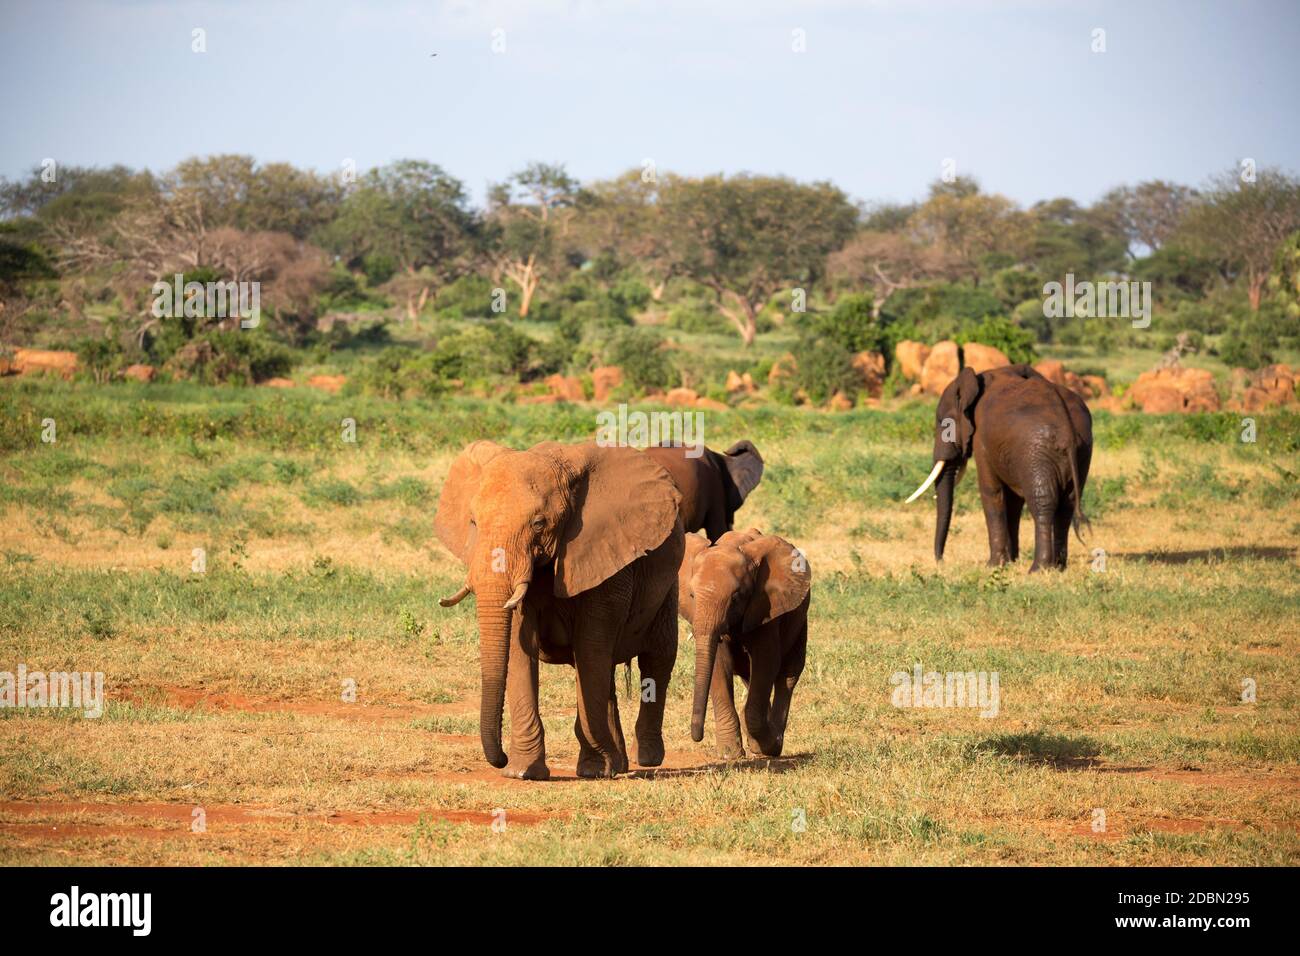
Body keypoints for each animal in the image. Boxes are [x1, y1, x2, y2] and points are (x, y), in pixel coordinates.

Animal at [434, 440, 684, 780]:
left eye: (539, 524)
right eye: (473, 523)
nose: (499, 758)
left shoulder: (604, 554)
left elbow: (591, 648)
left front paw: (594, 770)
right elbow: (519, 648)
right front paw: (522, 772)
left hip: (668, 586)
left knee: (656, 658)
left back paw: (644, 758)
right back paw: (618, 764)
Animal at [678, 529, 811, 758]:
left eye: (736, 597)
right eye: (692, 596)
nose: (697, 736)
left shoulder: (766, 606)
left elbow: (766, 661)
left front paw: (766, 746)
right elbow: (718, 666)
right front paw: (729, 754)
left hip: (800, 620)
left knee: (788, 675)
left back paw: (773, 742)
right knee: (750, 677)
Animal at [906, 364, 1093, 572]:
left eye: (942, 422)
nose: (941, 561)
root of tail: (1067, 427)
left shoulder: (981, 438)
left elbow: (991, 491)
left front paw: (993, 566)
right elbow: (1013, 501)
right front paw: (1011, 562)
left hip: (1036, 451)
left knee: (1042, 502)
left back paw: (1038, 569)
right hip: (1081, 449)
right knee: (1067, 504)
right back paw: (1058, 567)